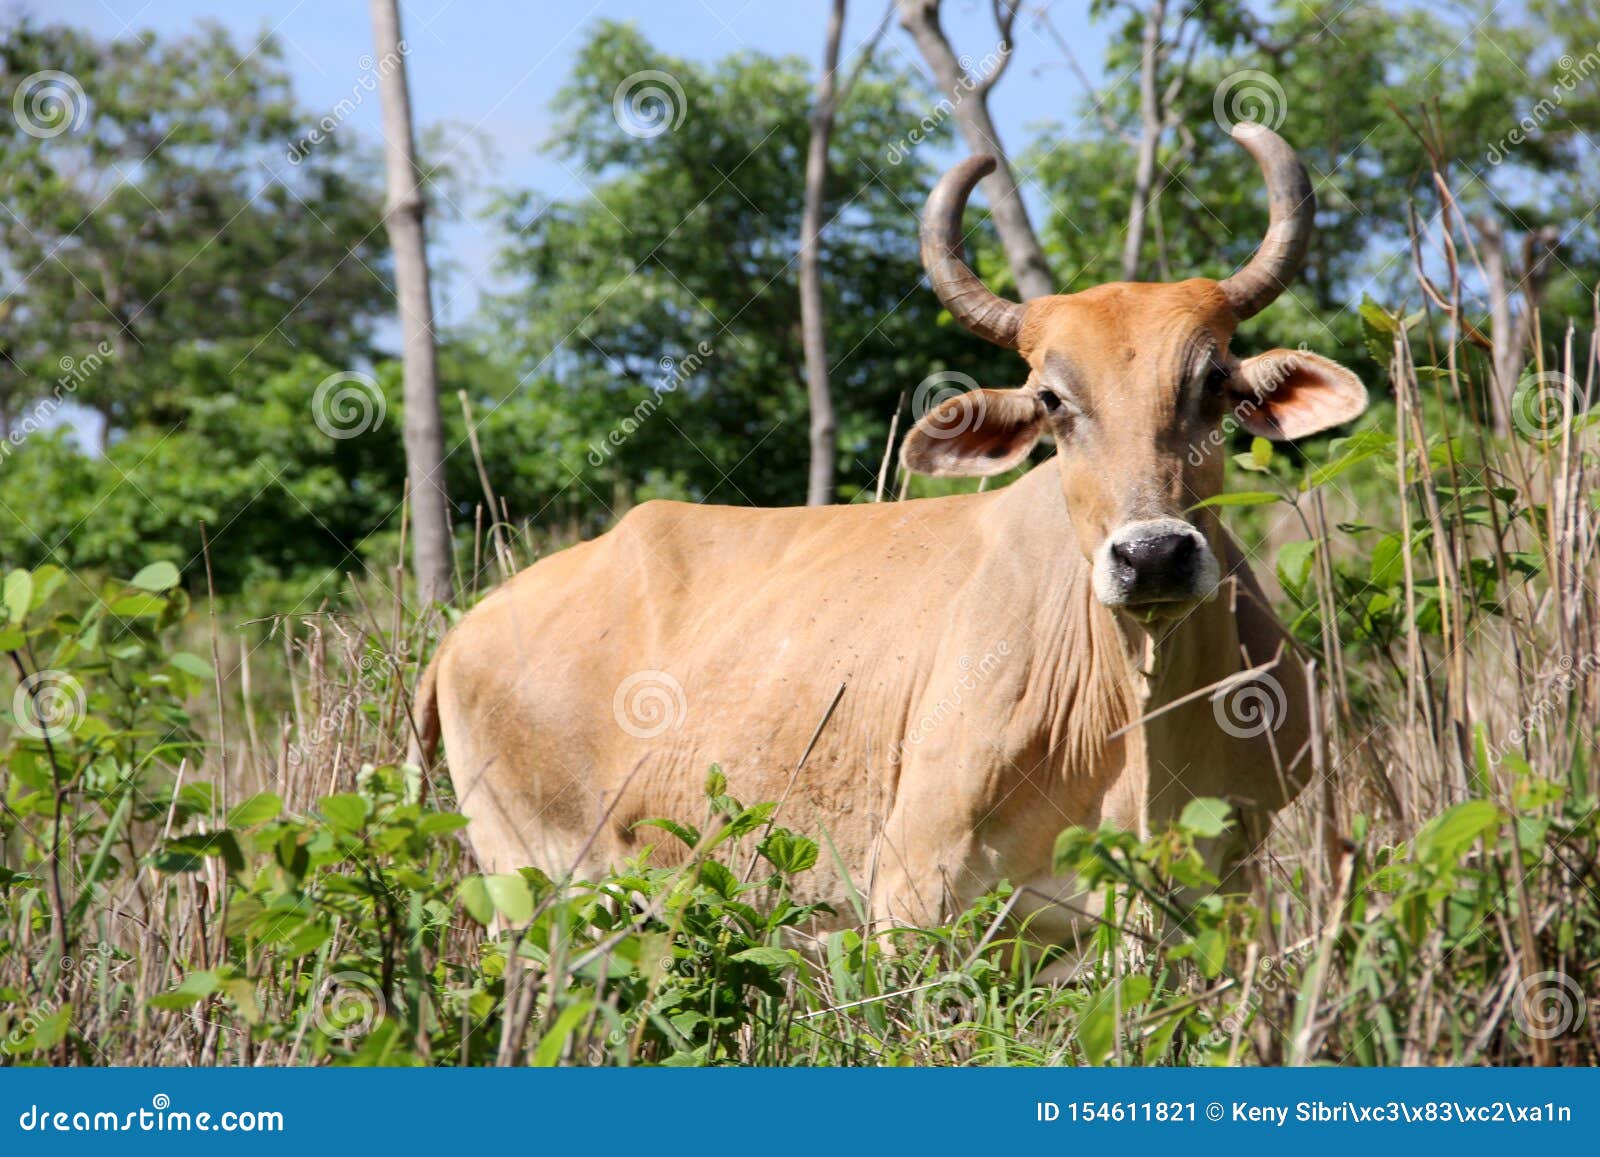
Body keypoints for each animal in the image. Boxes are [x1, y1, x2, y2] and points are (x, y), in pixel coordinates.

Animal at [411, 123, 1367, 946]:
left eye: (1213, 380)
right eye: (1053, 398)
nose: (1153, 556)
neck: (1137, 711)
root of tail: (461, 633)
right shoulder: (913, 898)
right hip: (530, 886)